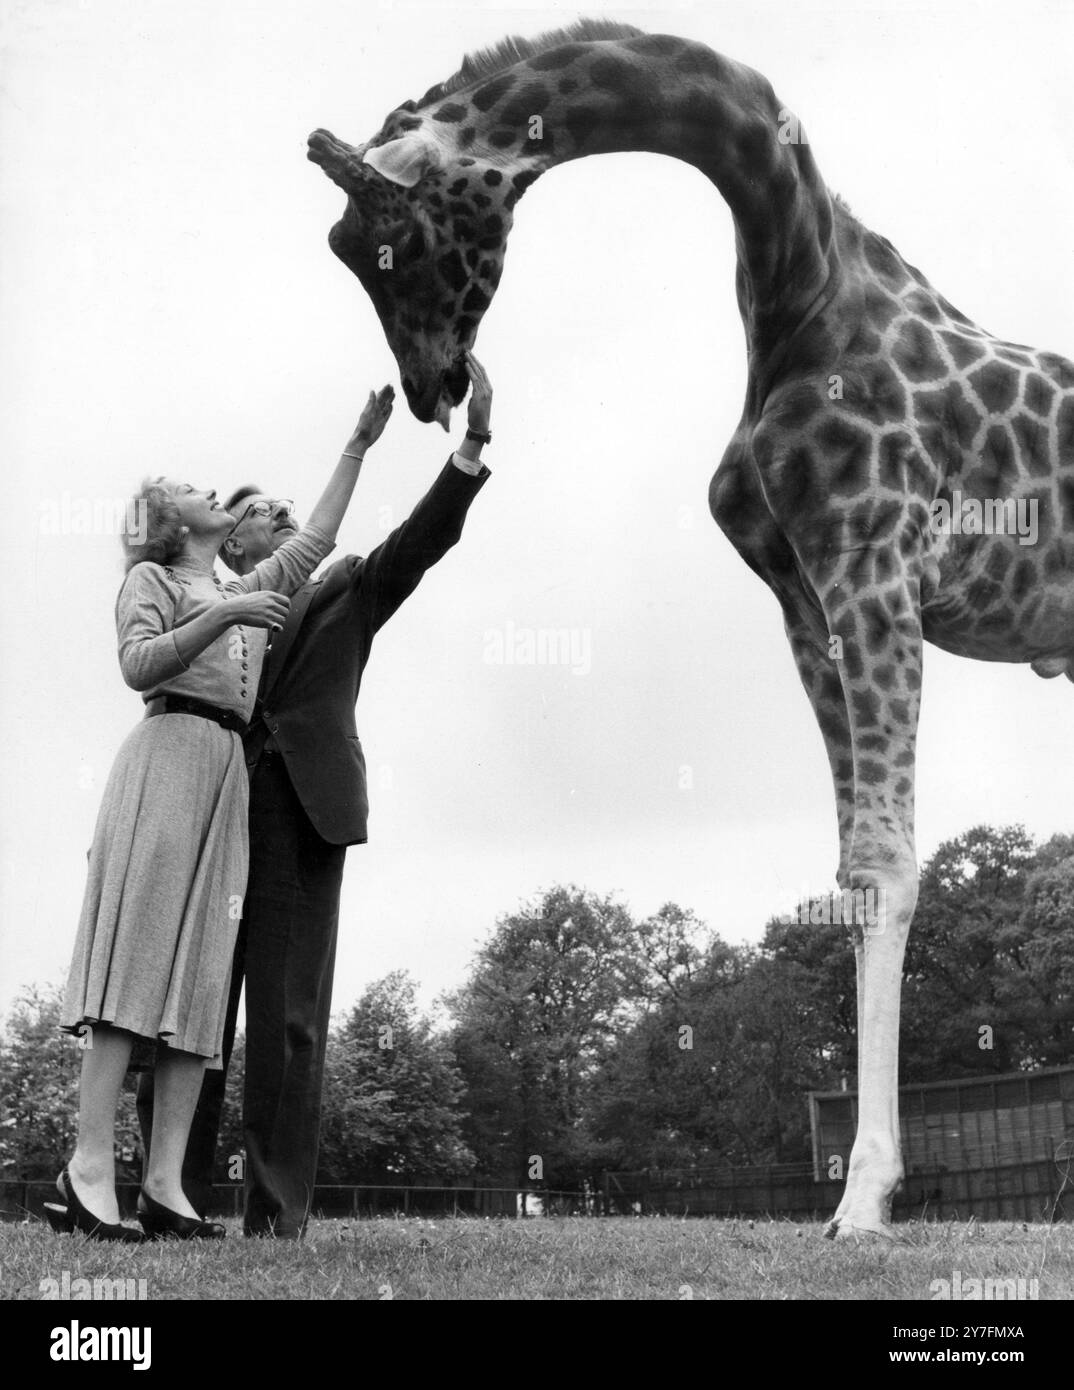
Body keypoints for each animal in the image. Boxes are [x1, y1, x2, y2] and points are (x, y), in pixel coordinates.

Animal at [307, 20, 1074, 1238]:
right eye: (343, 246)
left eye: (394, 238)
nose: (430, 390)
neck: (800, 286)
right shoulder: (805, 603)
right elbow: (851, 871)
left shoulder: (879, 573)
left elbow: (892, 869)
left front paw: (864, 1199)